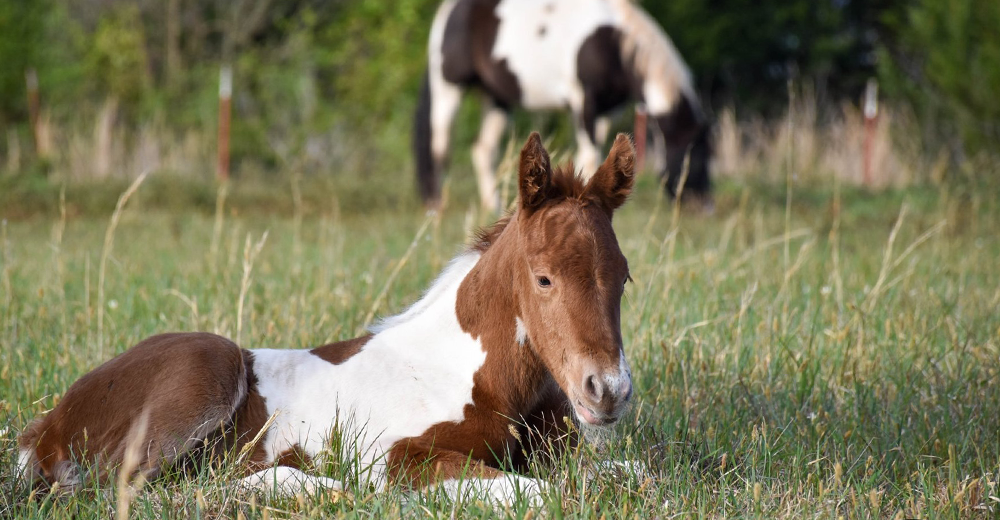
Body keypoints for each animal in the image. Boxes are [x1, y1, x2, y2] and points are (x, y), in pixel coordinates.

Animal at [17, 132, 636, 504]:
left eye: (625, 276)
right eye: (544, 278)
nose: (606, 390)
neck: (473, 376)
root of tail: (45, 427)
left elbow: (624, 475)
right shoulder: (400, 460)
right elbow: (537, 492)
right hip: (205, 365)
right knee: (142, 491)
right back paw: (311, 487)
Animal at [413, 0, 712, 214]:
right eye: (696, 156)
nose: (704, 207)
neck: (612, 43)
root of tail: (449, 11)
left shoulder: (605, 111)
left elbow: (591, 159)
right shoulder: (584, 102)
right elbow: (590, 156)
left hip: (497, 98)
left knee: (483, 150)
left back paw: (493, 208)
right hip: (449, 88)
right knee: (439, 147)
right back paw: (435, 207)